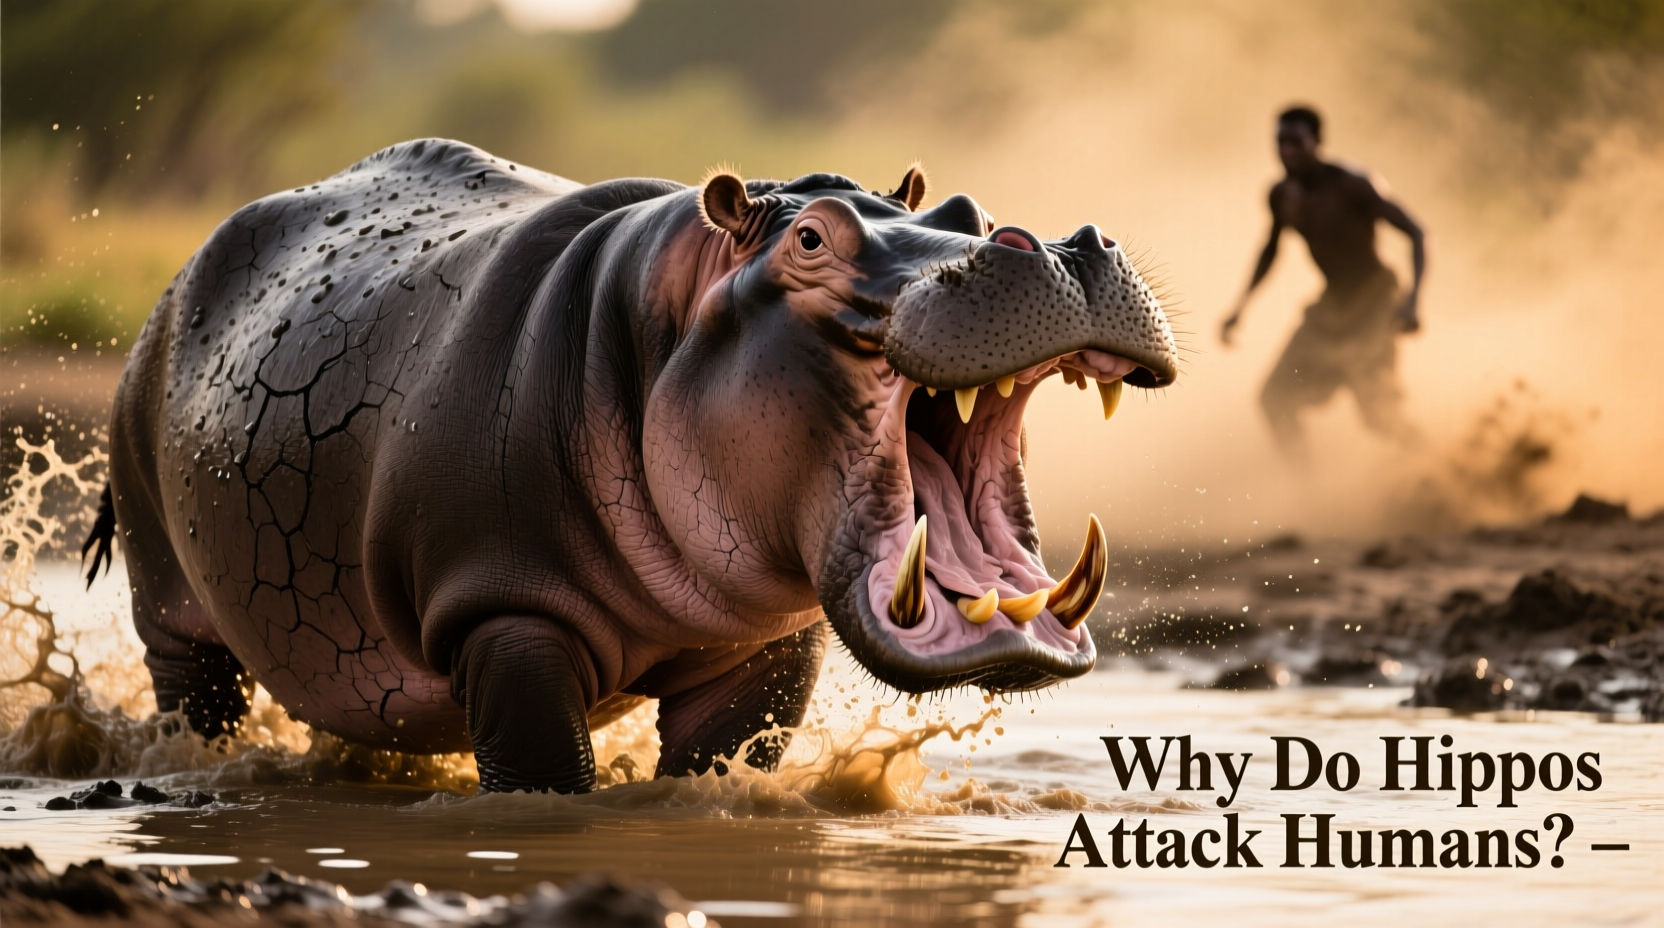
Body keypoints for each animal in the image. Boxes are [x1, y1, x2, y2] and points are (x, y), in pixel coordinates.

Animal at [87, 139, 1177, 793]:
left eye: (967, 207)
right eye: (812, 240)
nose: (1059, 244)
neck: (680, 301)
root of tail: (177, 279)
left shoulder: (763, 648)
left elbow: (726, 760)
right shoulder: (505, 611)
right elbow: (543, 771)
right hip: (169, 597)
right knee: (195, 688)